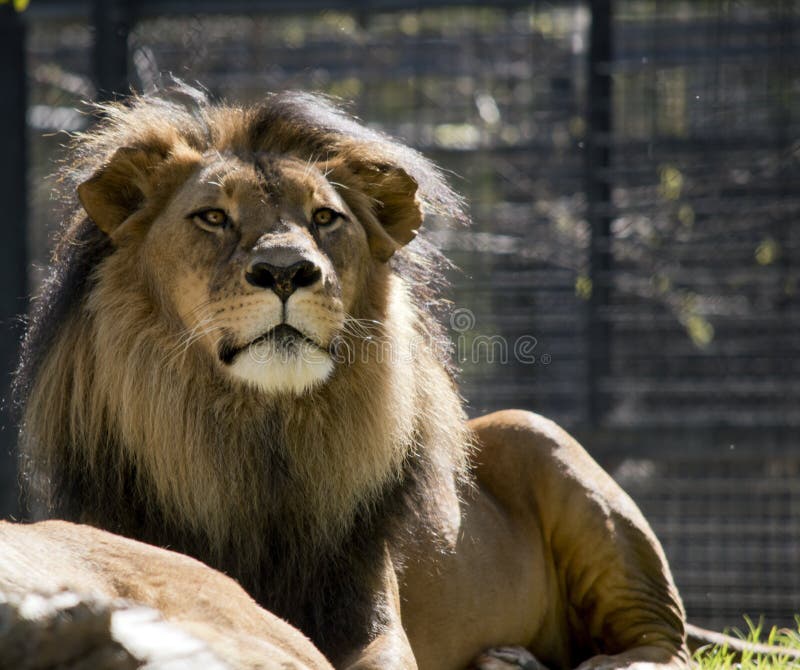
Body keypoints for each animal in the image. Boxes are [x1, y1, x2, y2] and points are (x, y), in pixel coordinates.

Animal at [16, 85, 692, 669]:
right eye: (211, 217)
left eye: (324, 218)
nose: (287, 271)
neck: (259, 441)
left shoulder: (368, 614)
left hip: (541, 438)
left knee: (668, 646)